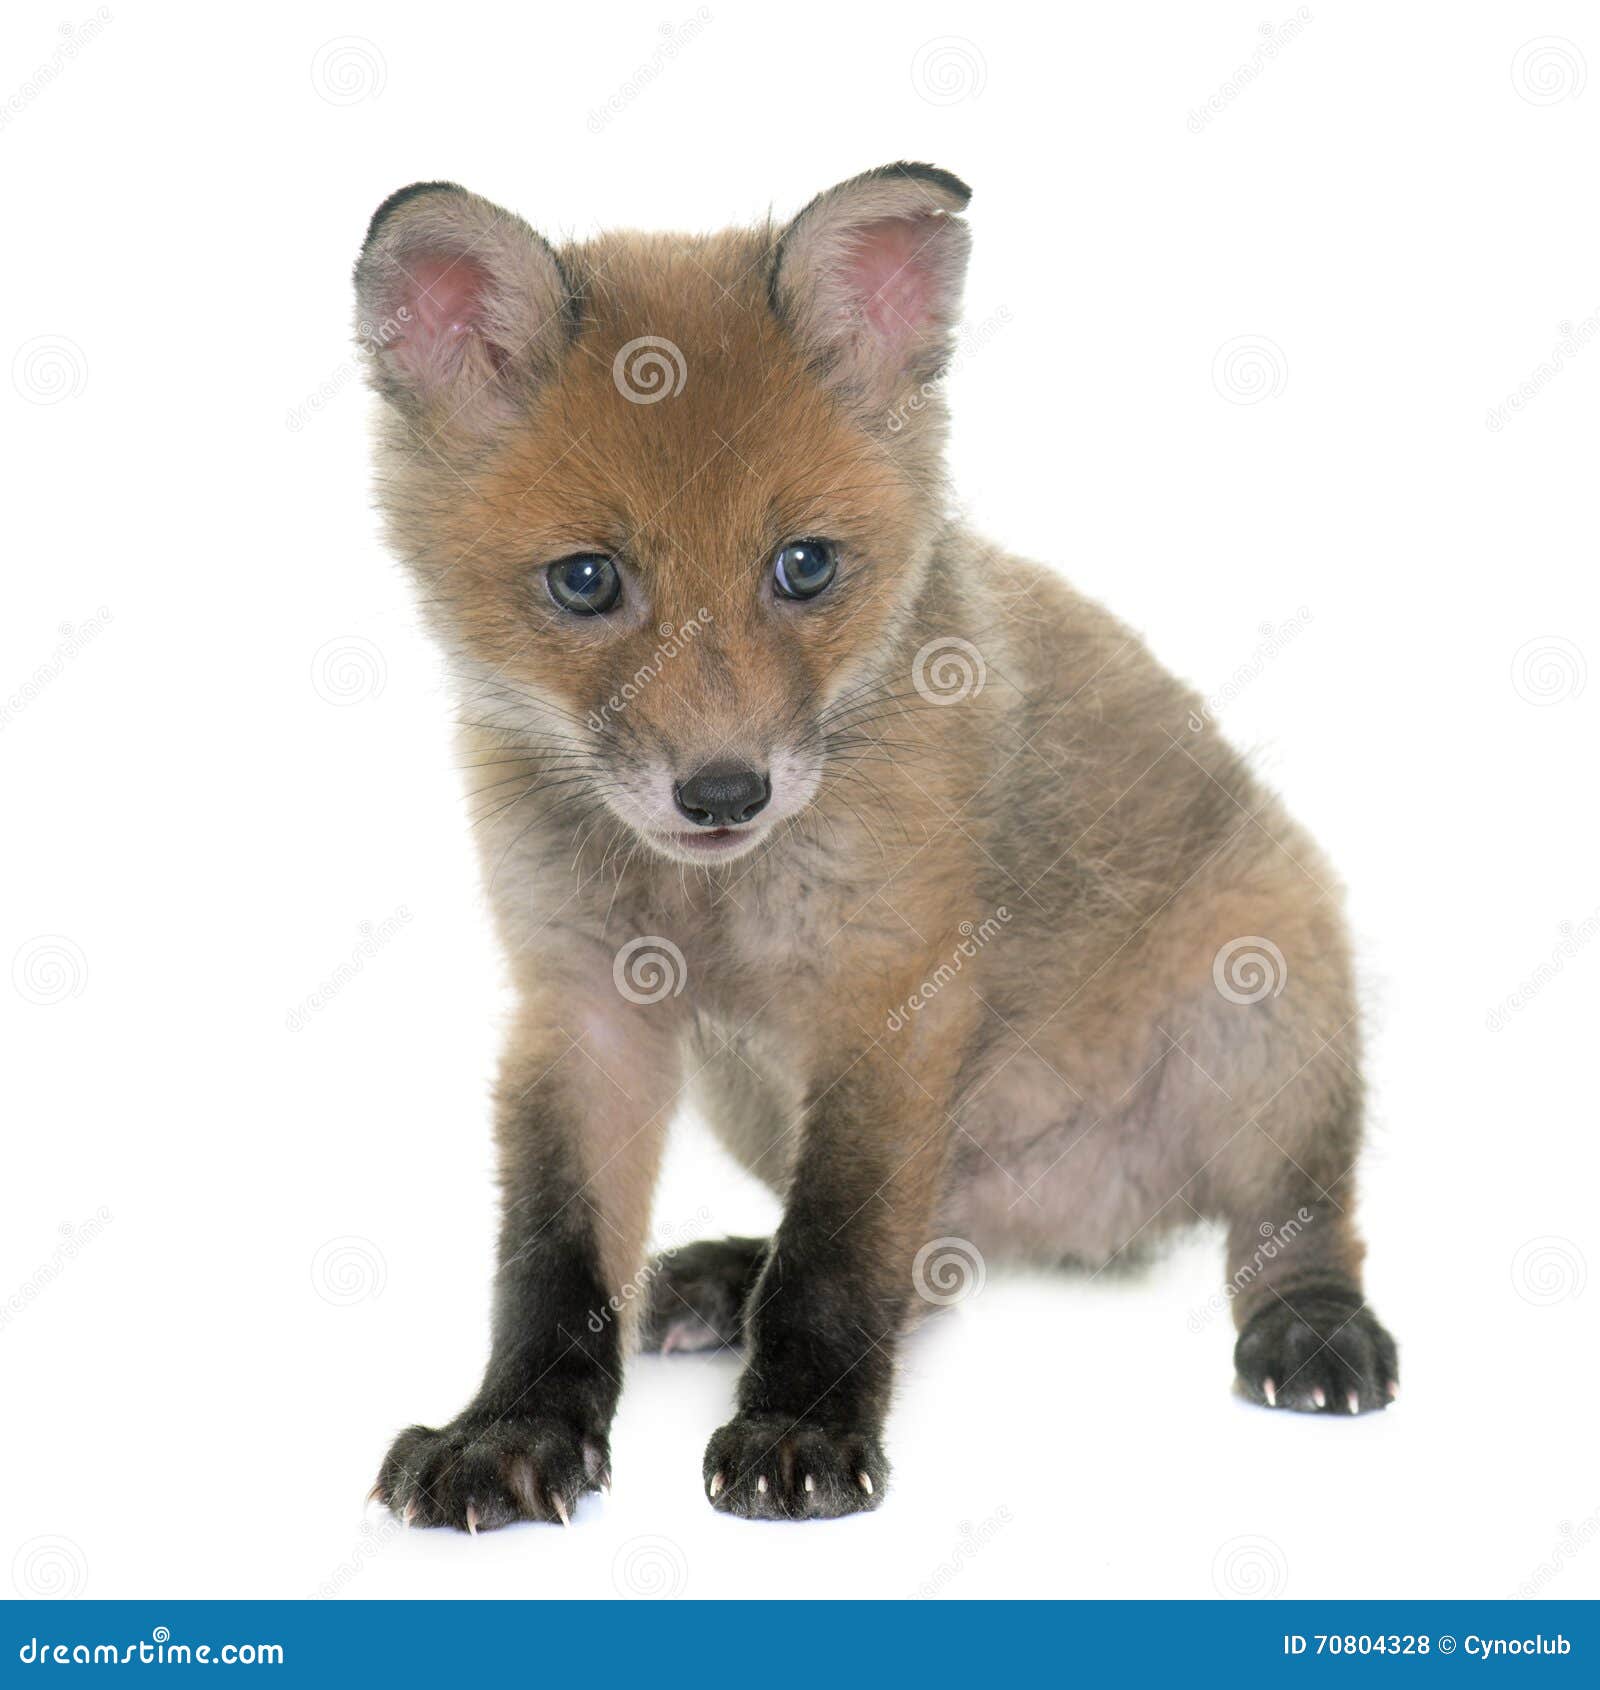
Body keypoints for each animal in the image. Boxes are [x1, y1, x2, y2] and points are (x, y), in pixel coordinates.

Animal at [356, 163, 1397, 1529]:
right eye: (585, 582)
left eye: (804, 567)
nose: (723, 790)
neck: (708, 901)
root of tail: (1077, 1224)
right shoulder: (579, 1007)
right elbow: (552, 1262)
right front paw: (512, 1429)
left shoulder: (889, 995)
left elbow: (836, 1257)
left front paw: (799, 1429)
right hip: (756, 1093)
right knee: (930, 1263)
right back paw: (725, 1277)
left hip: (1266, 1005)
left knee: (1291, 1220)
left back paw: (1312, 1327)